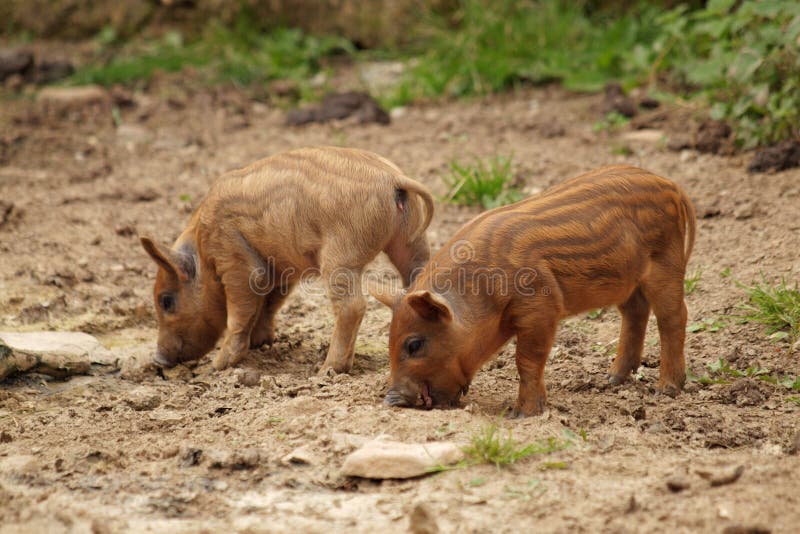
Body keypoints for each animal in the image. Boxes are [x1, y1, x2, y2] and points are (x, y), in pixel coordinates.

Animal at [140, 146, 433, 374]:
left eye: (166, 301)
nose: (158, 359)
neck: (202, 246)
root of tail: (393, 179)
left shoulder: (235, 260)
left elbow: (240, 311)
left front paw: (216, 367)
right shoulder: (282, 270)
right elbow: (269, 304)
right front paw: (261, 343)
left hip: (341, 254)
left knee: (352, 306)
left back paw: (326, 371)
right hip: (411, 241)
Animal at [370, 165, 696, 416]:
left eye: (414, 344)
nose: (391, 399)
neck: (482, 294)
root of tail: (671, 185)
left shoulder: (541, 307)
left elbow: (526, 360)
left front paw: (521, 414)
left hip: (666, 262)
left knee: (674, 317)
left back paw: (665, 391)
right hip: (630, 281)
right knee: (636, 312)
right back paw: (612, 379)